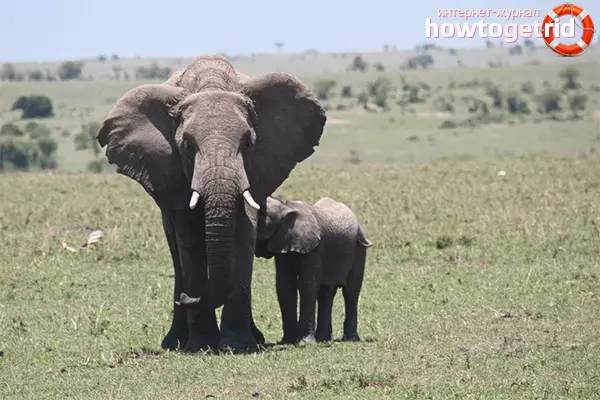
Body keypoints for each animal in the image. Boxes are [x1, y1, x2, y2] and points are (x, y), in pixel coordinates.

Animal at [95, 55, 326, 354]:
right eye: (187, 146)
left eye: (248, 143)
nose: (187, 297)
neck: (211, 82)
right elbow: (189, 240)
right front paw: (201, 345)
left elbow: (244, 232)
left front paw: (238, 346)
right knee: (177, 254)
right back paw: (175, 341)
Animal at [255, 197, 372, 344]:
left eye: (259, 219)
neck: (286, 208)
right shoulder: (282, 244)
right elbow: (284, 285)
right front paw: (288, 341)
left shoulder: (315, 248)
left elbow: (307, 284)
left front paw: (305, 343)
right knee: (326, 293)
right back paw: (324, 339)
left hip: (358, 248)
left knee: (351, 291)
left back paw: (350, 339)